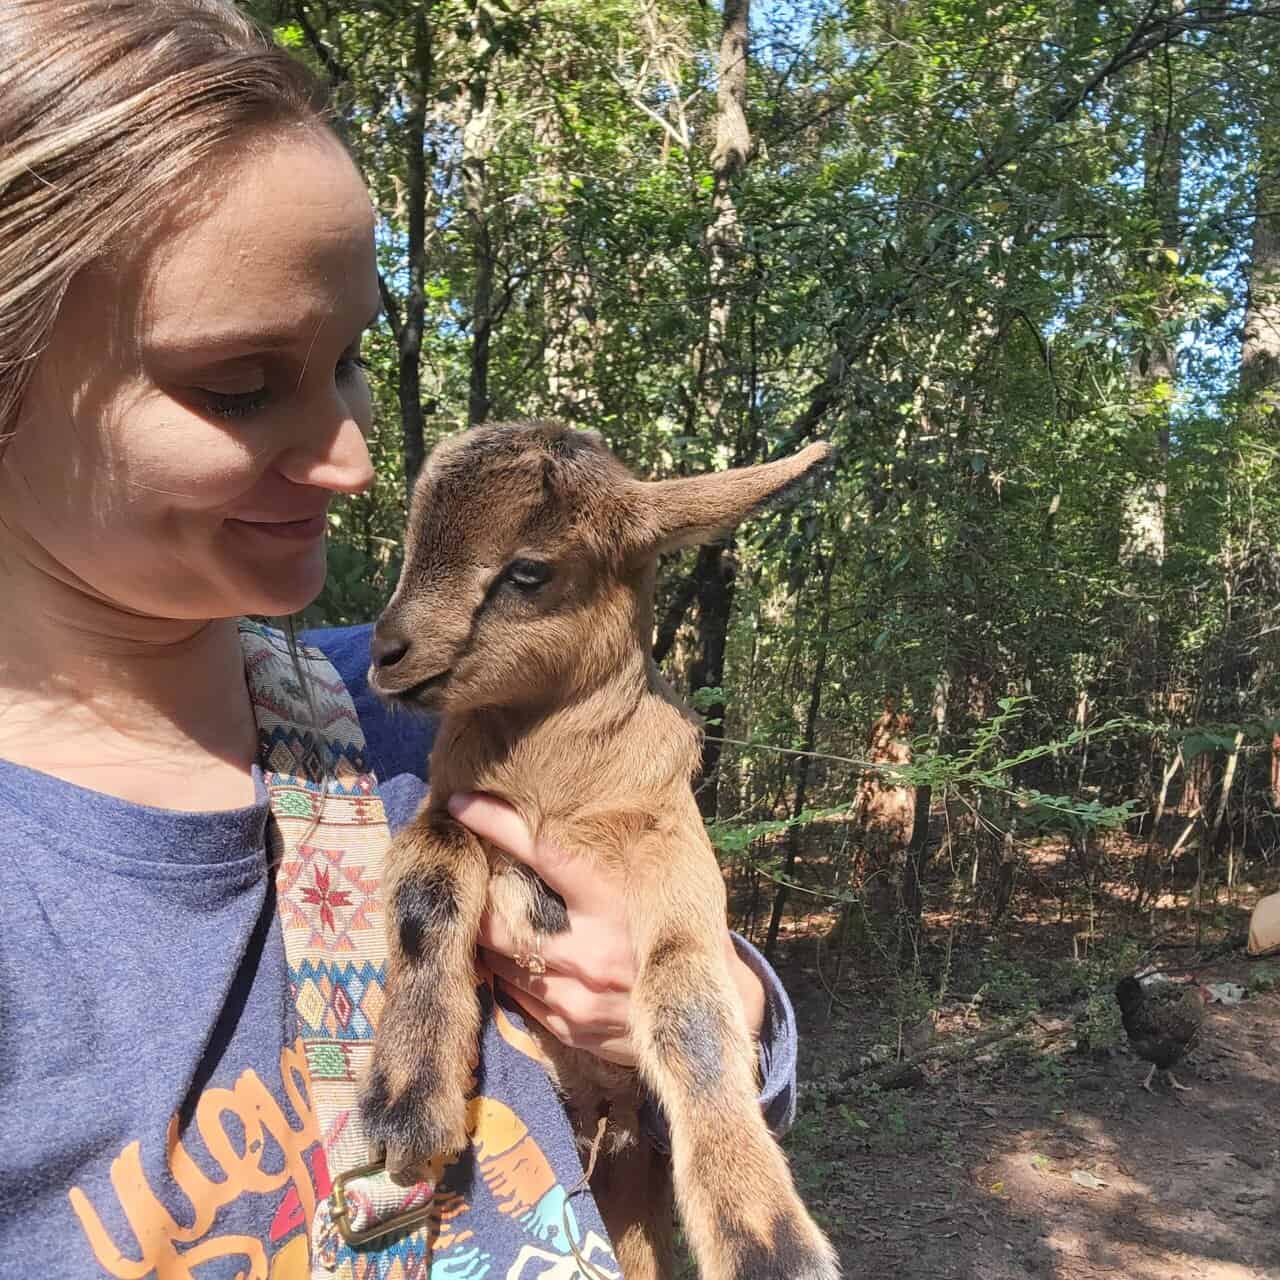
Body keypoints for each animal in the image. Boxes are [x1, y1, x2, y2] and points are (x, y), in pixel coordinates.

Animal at [361, 421, 837, 1280]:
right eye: (413, 544)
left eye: (527, 570)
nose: (387, 652)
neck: (559, 793)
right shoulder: (450, 812)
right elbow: (422, 898)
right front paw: (405, 1103)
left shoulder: (672, 851)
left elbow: (687, 1003)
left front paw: (767, 1242)